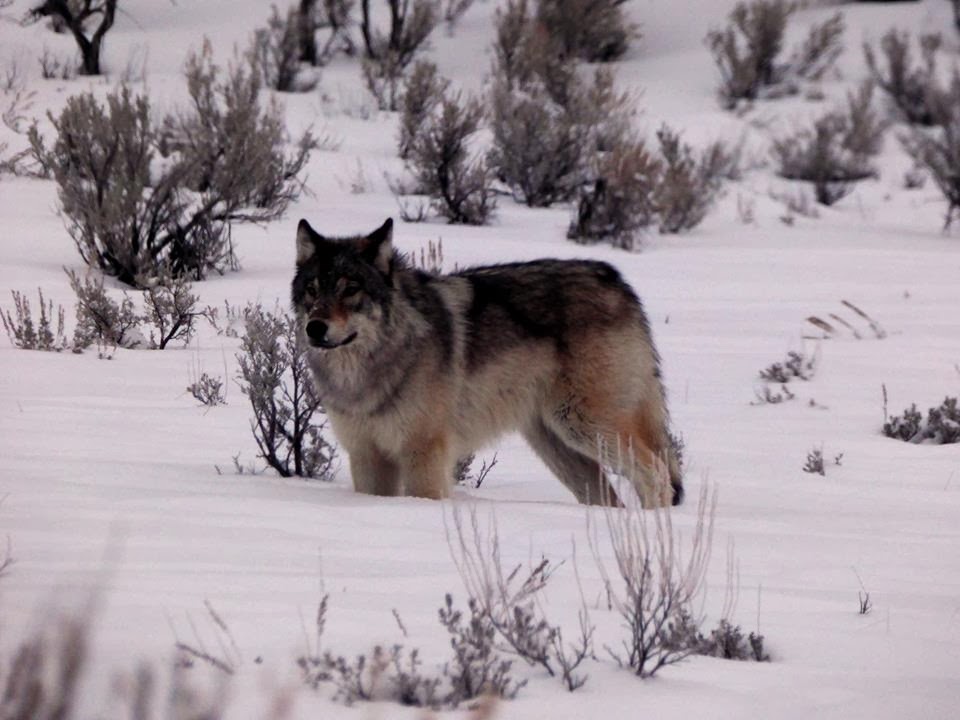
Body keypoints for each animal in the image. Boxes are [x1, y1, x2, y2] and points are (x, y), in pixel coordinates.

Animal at [291, 217, 683, 507]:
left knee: (656, 474)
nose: (315, 327)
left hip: (584, 426)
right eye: (312, 290)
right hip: (560, 444)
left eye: (350, 289)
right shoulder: (367, 455)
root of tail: (616, 280)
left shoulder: (423, 454)